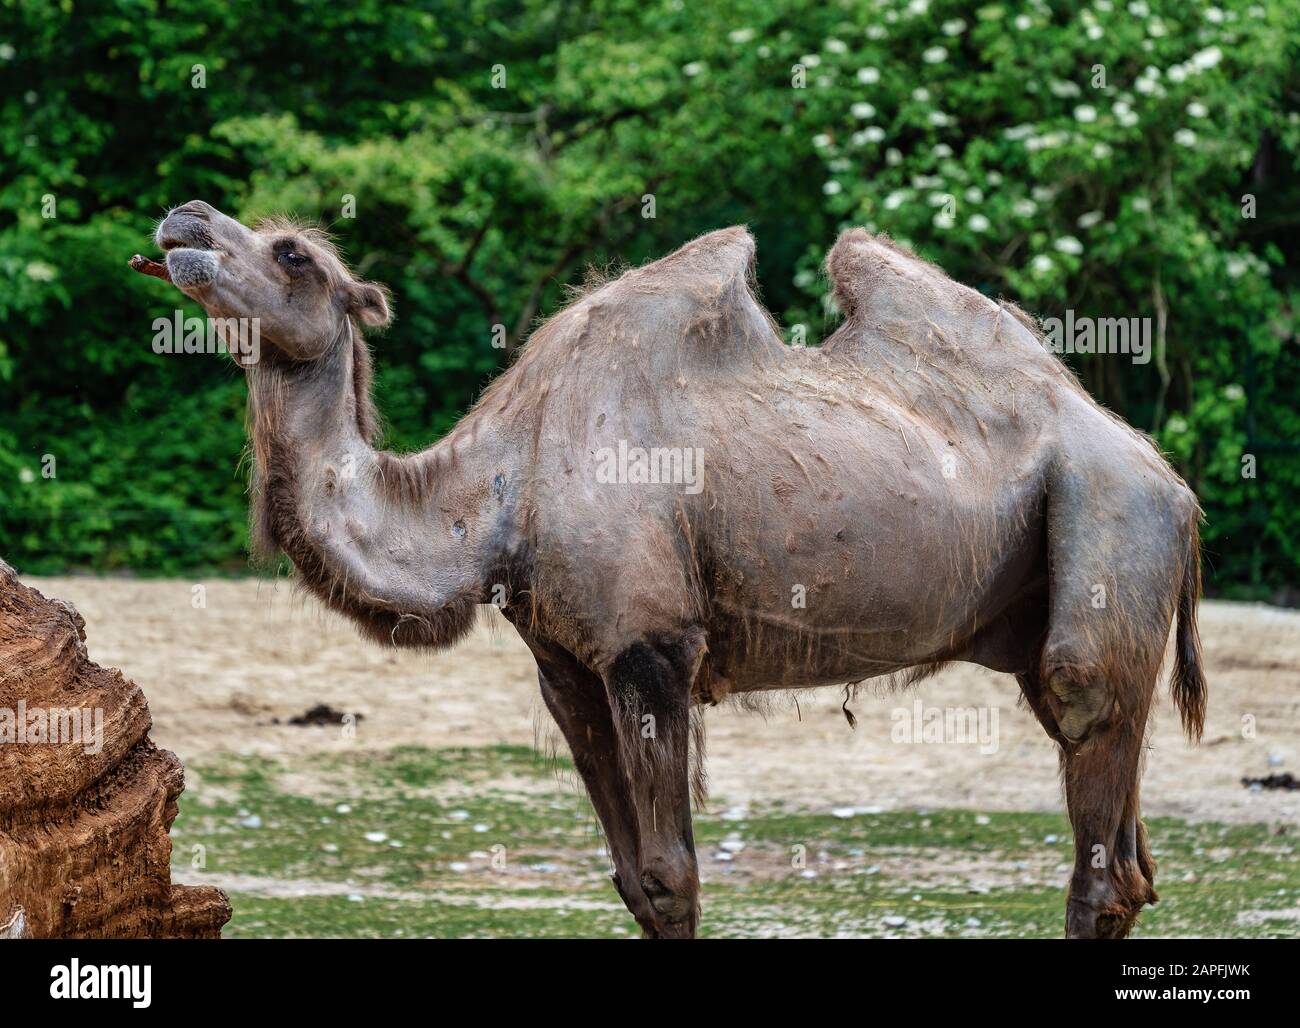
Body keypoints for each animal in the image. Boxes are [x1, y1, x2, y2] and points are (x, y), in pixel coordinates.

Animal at [131, 200, 1206, 939]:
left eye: (294, 254)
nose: (186, 219)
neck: (499, 494)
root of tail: (1171, 481)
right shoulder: (567, 666)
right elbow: (632, 882)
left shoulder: (650, 649)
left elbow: (672, 878)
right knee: (1128, 840)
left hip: (1109, 519)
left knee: (1091, 764)